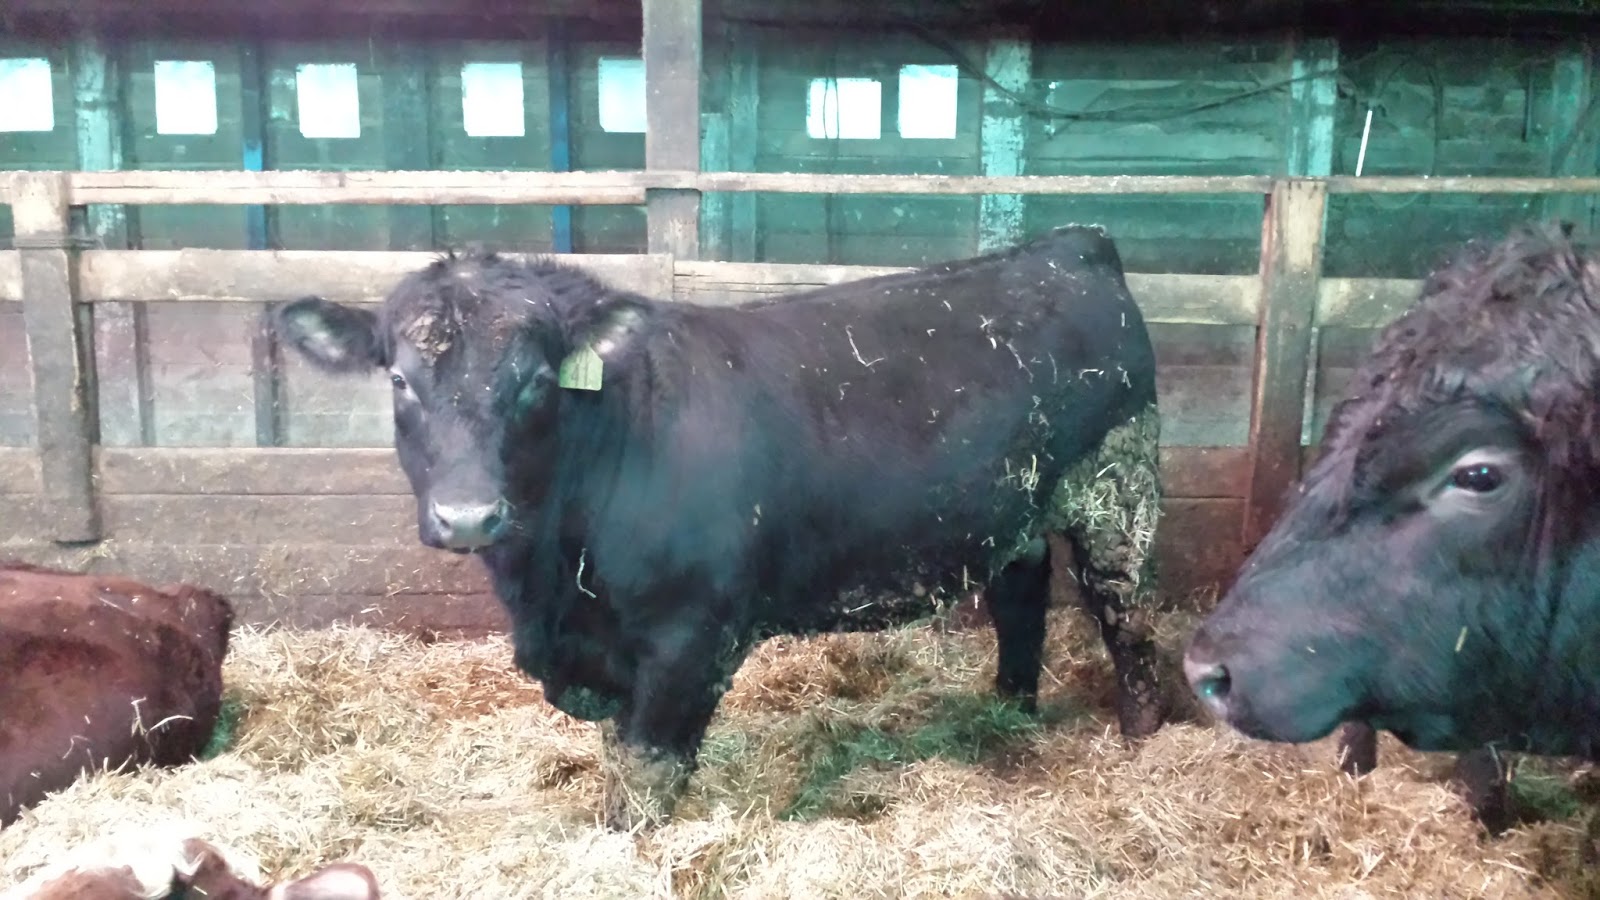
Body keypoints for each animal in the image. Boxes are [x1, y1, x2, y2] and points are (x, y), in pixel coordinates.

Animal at [271, 225, 1168, 830]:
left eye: (535, 381)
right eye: (399, 379)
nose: (468, 515)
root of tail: (1067, 244)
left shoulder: (688, 637)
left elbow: (645, 774)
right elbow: (619, 757)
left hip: (1117, 491)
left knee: (1128, 620)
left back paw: (1143, 739)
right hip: (1018, 505)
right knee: (1022, 595)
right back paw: (1009, 711)